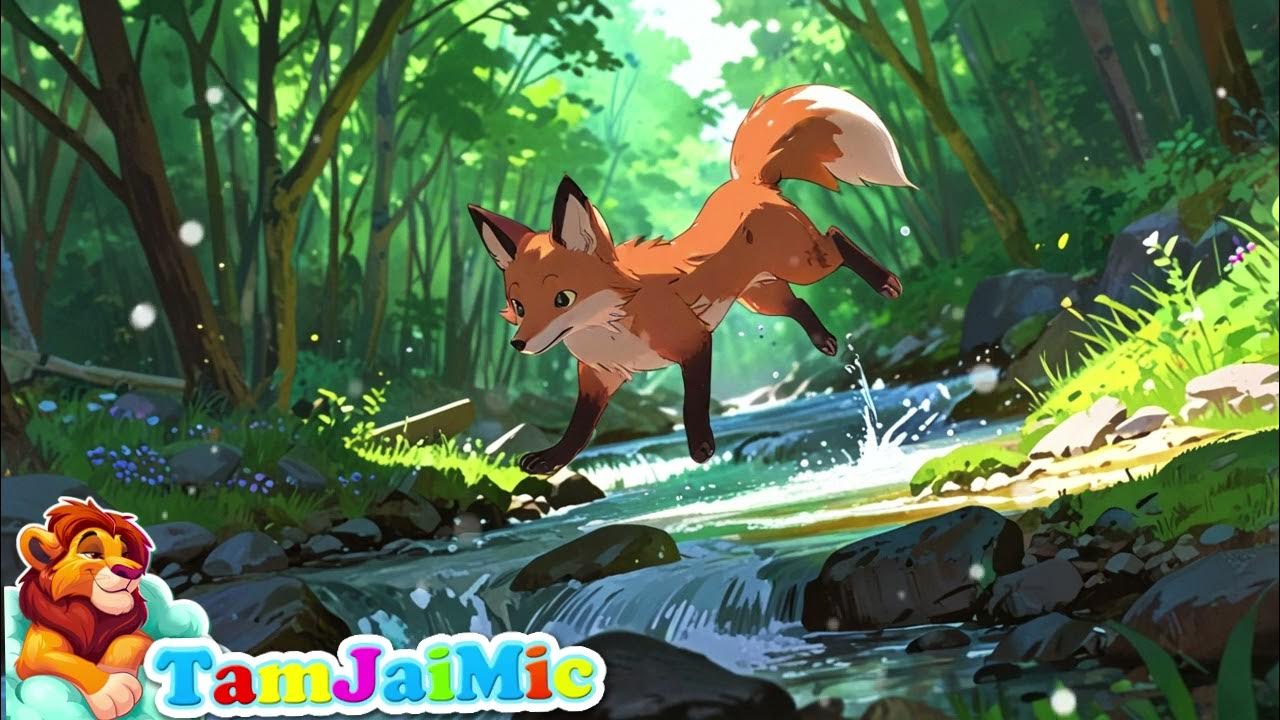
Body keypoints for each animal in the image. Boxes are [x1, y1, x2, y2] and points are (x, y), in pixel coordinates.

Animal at [467, 84, 914, 475]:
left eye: (563, 299)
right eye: (520, 305)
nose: (519, 344)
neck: (610, 325)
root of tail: (747, 184)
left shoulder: (694, 341)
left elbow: (693, 401)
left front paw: (701, 446)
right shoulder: (599, 377)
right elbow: (578, 429)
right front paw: (551, 460)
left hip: (802, 264)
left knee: (836, 238)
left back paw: (886, 282)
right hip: (761, 298)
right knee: (799, 304)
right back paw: (824, 340)